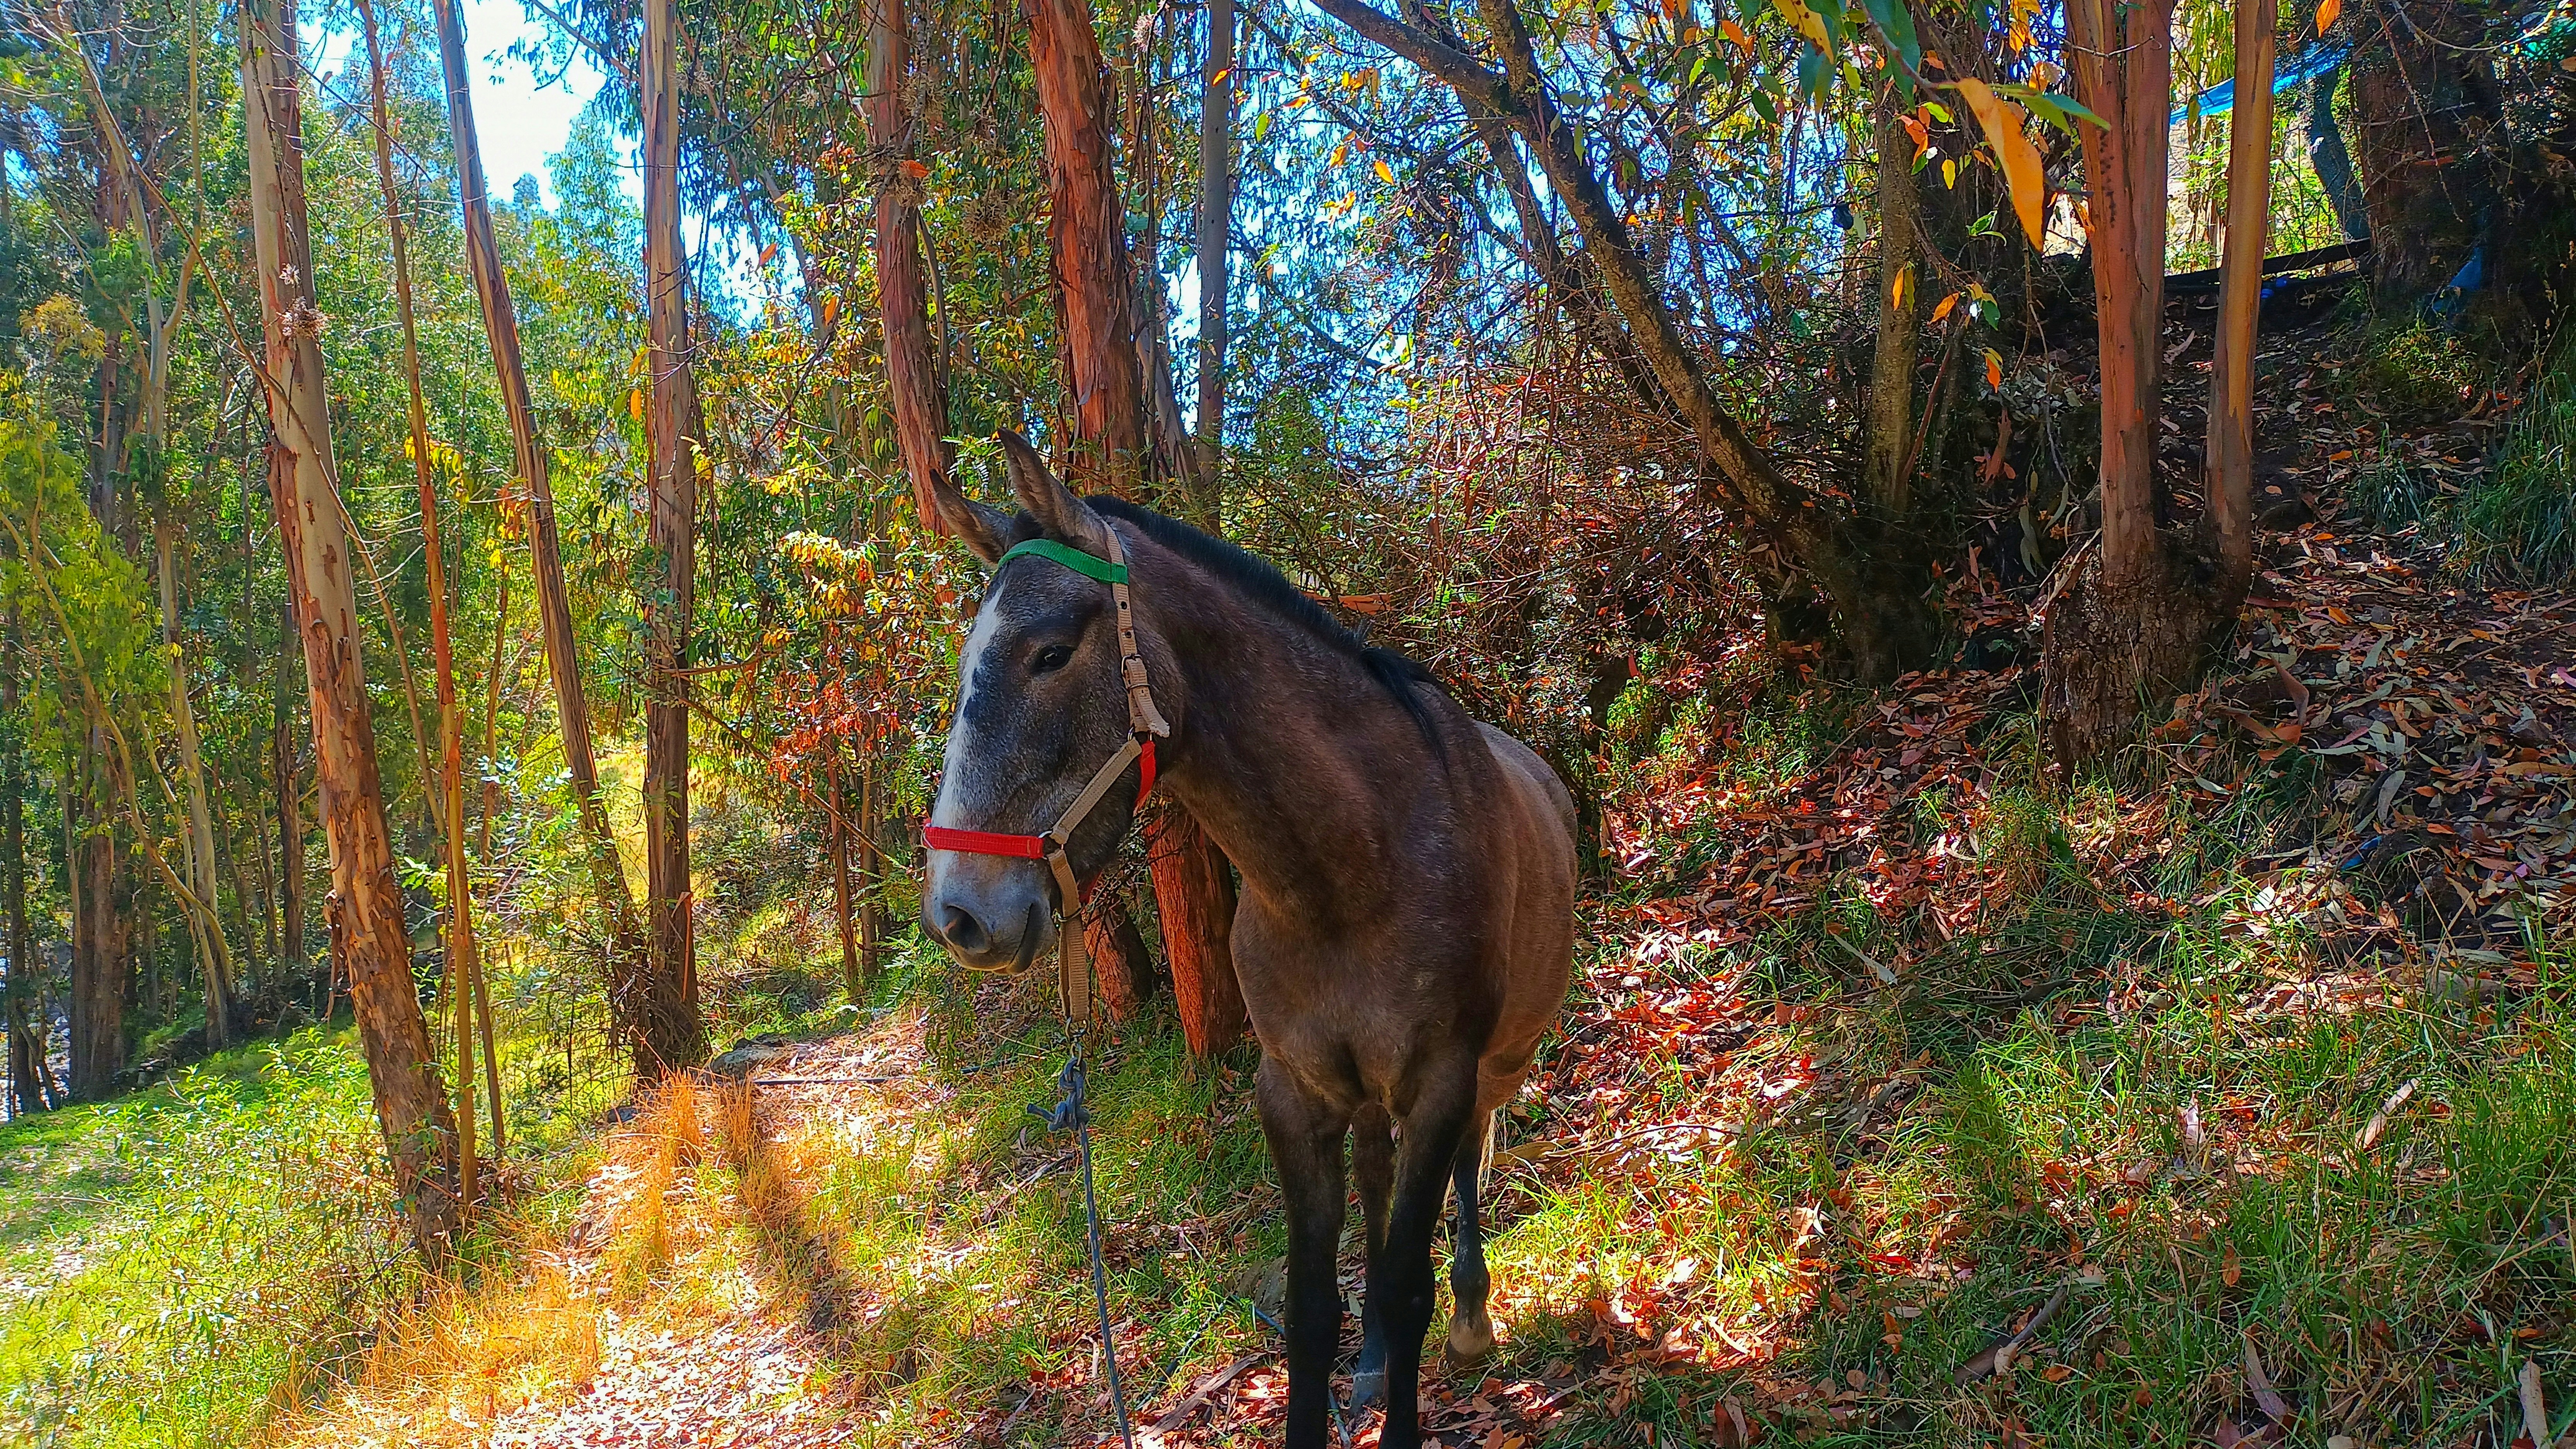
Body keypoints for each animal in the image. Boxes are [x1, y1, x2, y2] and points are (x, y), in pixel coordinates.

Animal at [919, 433, 1575, 1449]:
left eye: (1049, 653)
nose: (959, 913)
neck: (1355, 871)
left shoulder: (1438, 1082)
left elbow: (1408, 1282)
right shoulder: (1292, 1091)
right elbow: (1312, 1306)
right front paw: (1354, 1355)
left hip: (1496, 1065)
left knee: (1470, 1159)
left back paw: (1472, 1315)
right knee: (1377, 1174)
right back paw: (1375, 1359)